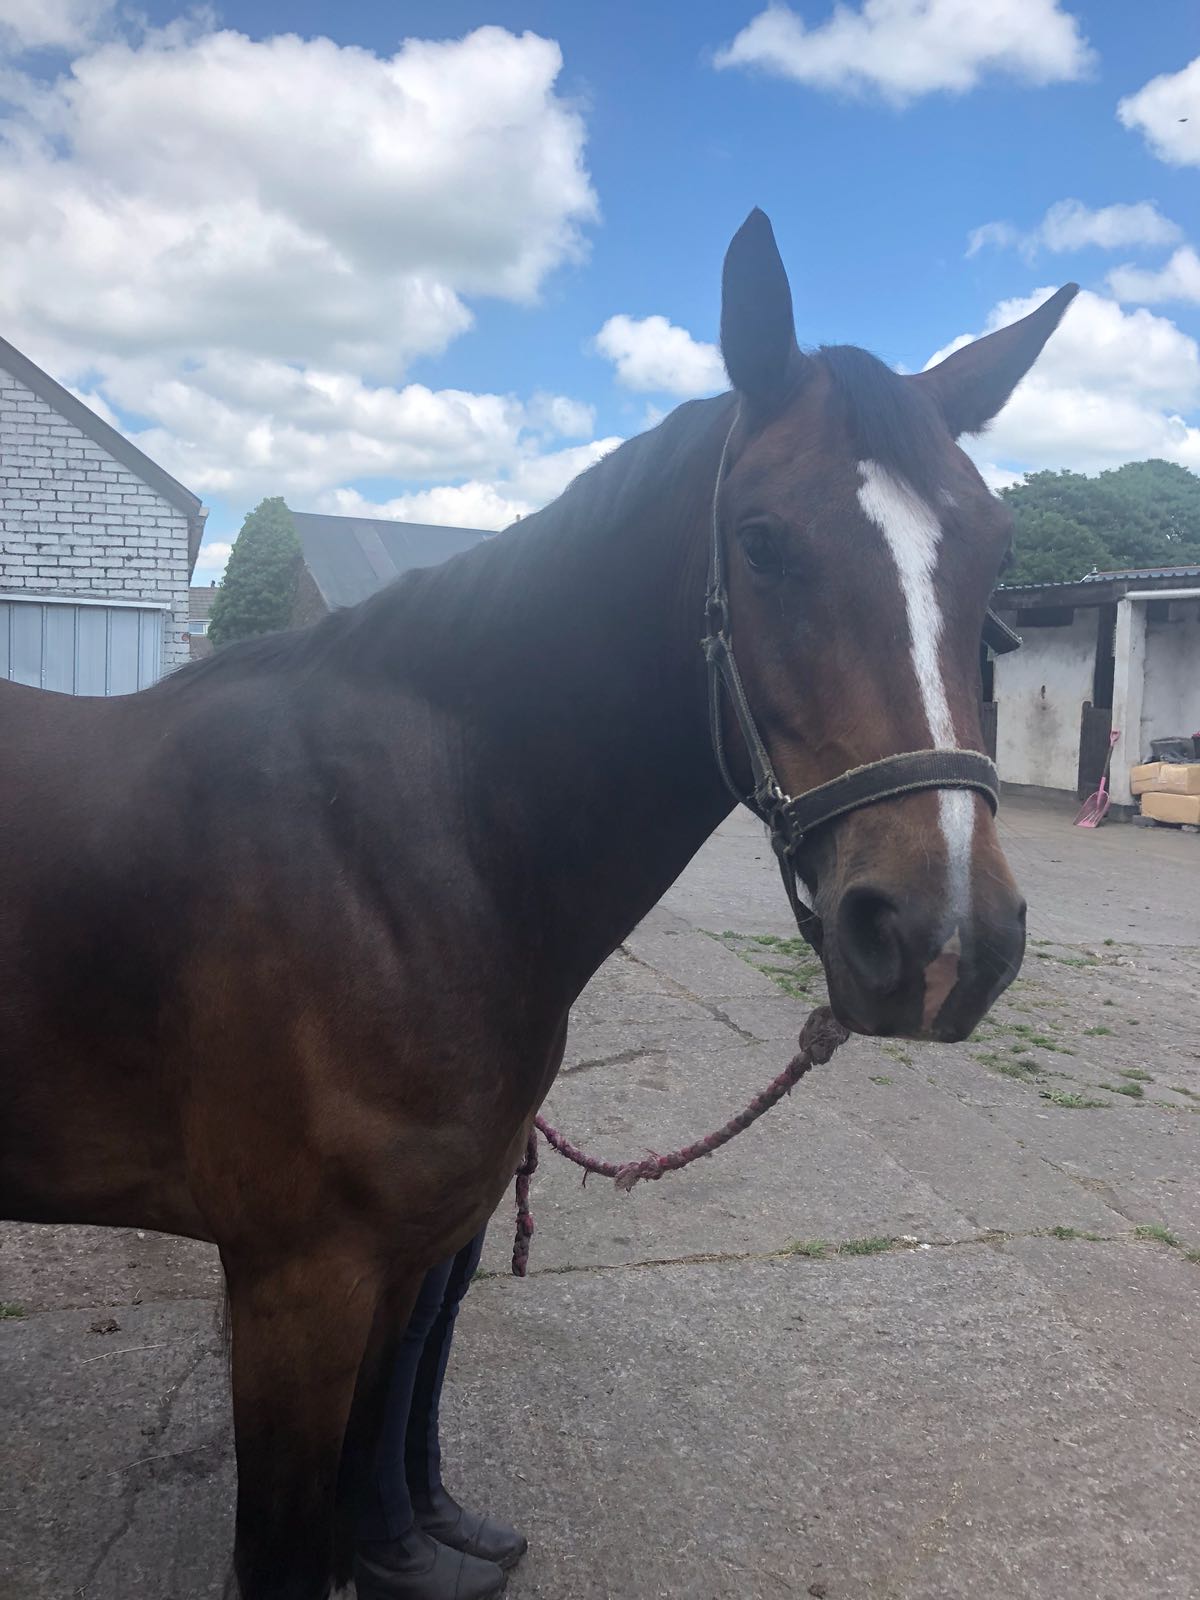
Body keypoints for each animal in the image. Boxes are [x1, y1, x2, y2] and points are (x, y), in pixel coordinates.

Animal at [0, 209, 1075, 1598]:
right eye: (764, 540)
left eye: (994, 558)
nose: (945, 941)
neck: (408, 842)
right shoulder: (299, 1281)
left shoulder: (405, 1255)